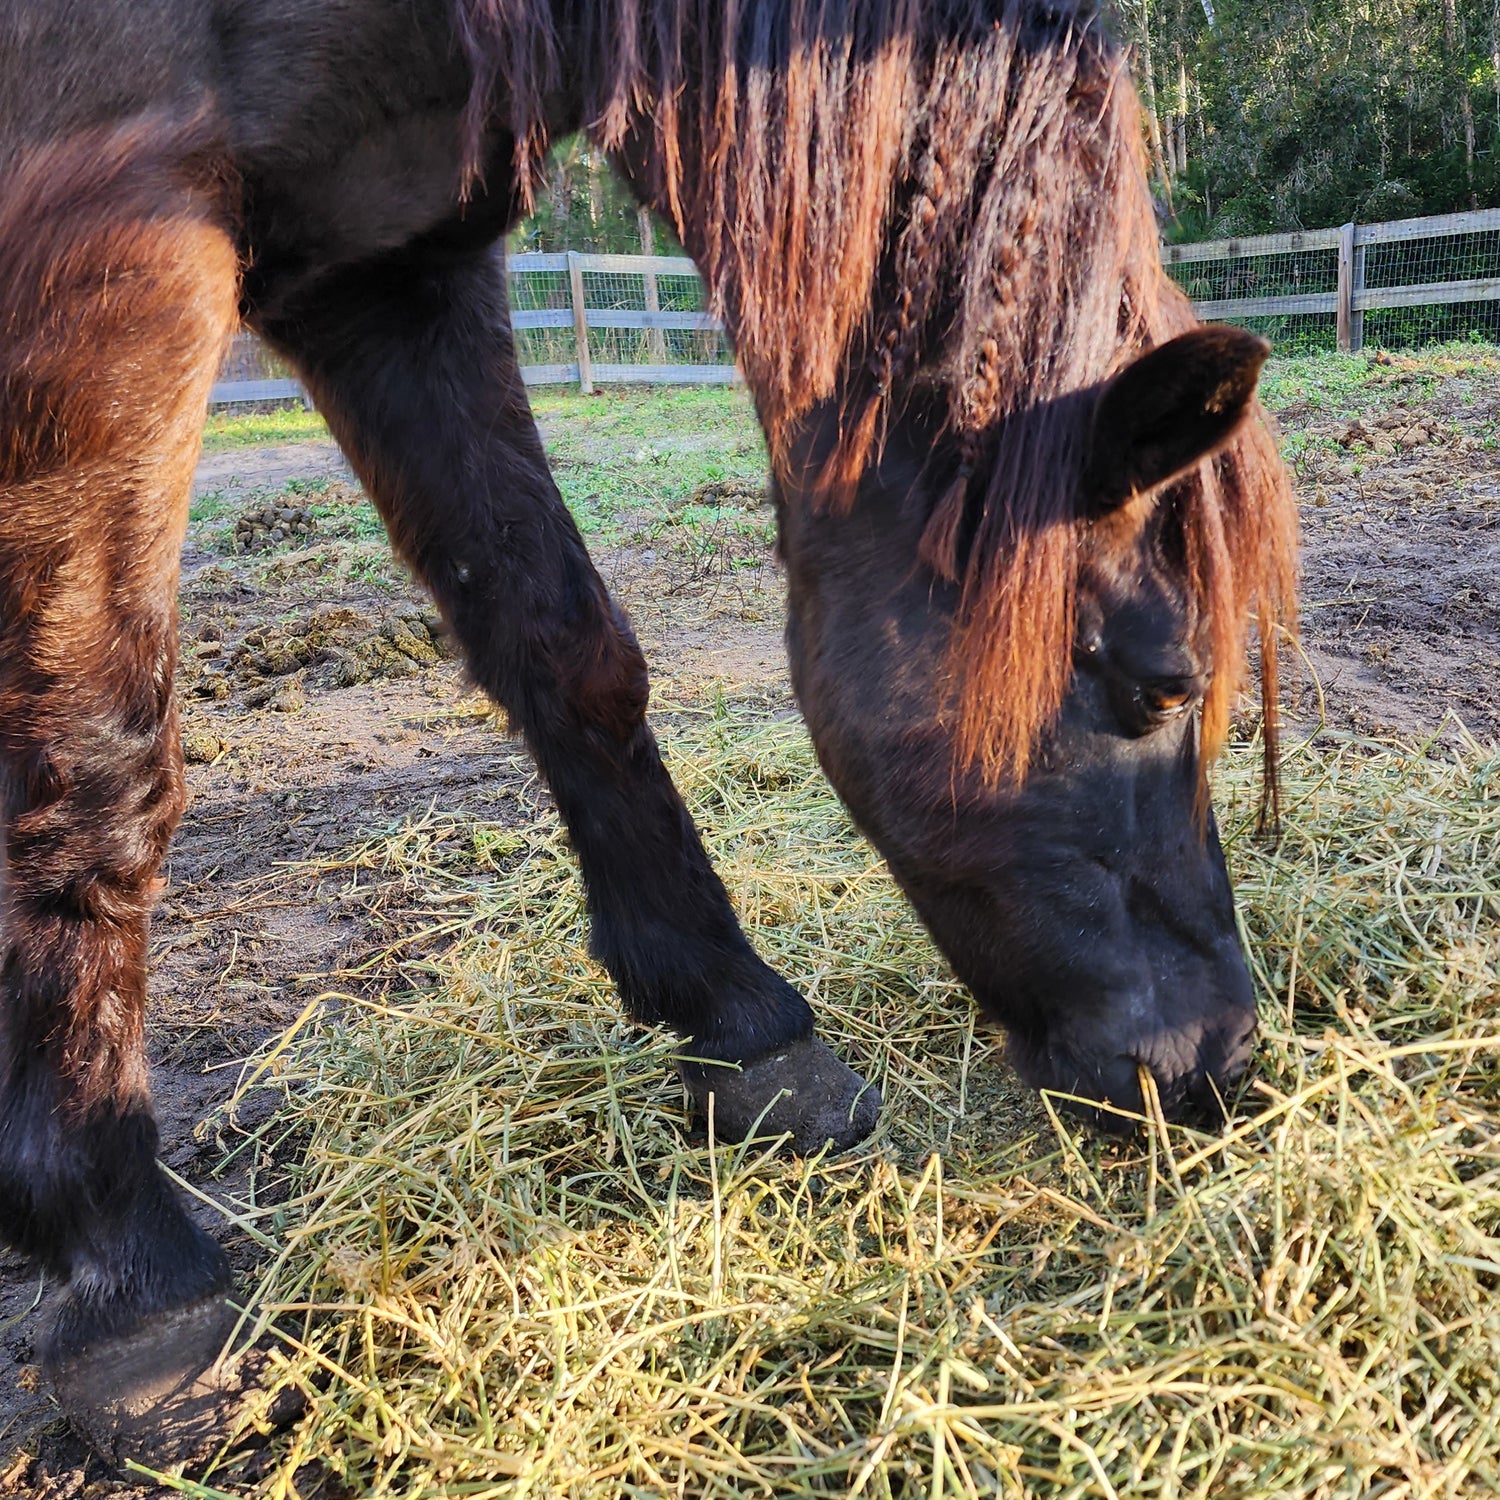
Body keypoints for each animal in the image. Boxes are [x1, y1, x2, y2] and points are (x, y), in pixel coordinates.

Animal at [0, 0, 1298, 1467]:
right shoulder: (102, 251)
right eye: (1162, 687)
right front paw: (128, 1274)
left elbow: (566, 645)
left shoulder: (384, 271)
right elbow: (94, 747)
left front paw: (738, 1028)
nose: (1219, 1060)